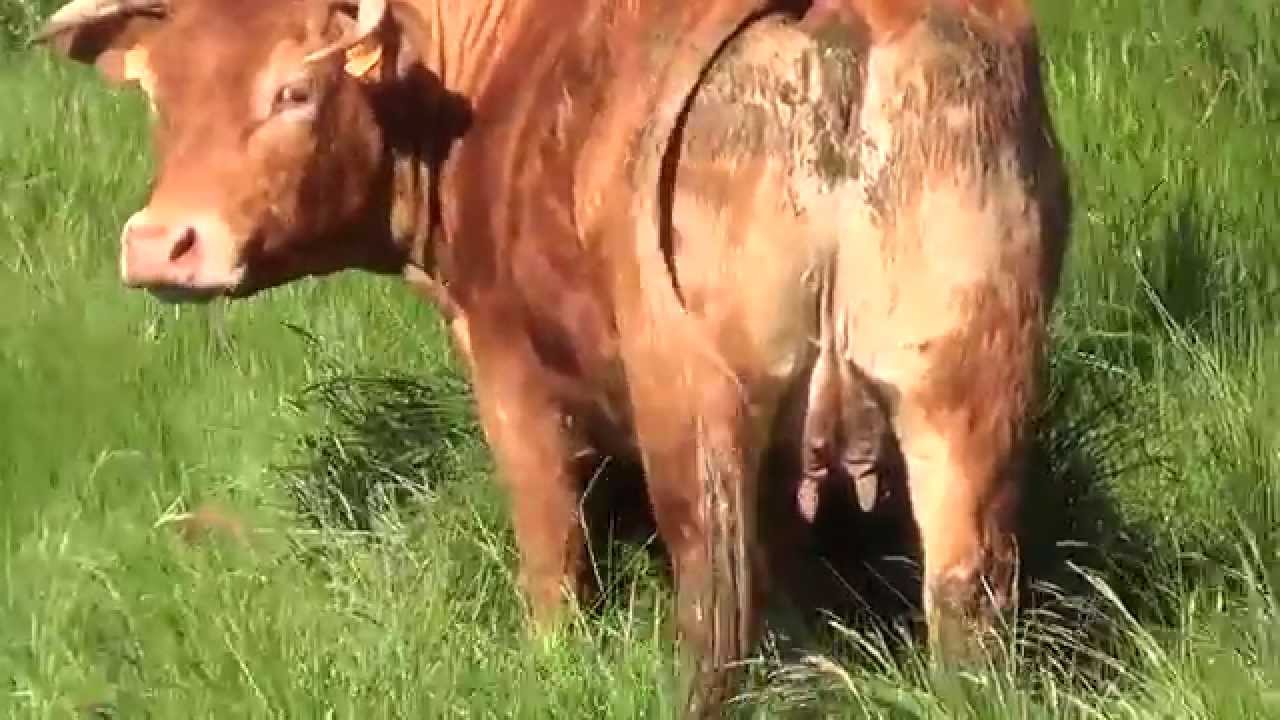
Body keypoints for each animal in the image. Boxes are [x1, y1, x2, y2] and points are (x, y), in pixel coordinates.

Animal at [35, 0, 1070, 714]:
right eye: (159, 98)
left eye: (296, 87)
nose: (161, 243)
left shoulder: (506, 367)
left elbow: (551, 547)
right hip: (968, 387)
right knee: (967, 602)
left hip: (695, 404)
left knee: (715, 607)